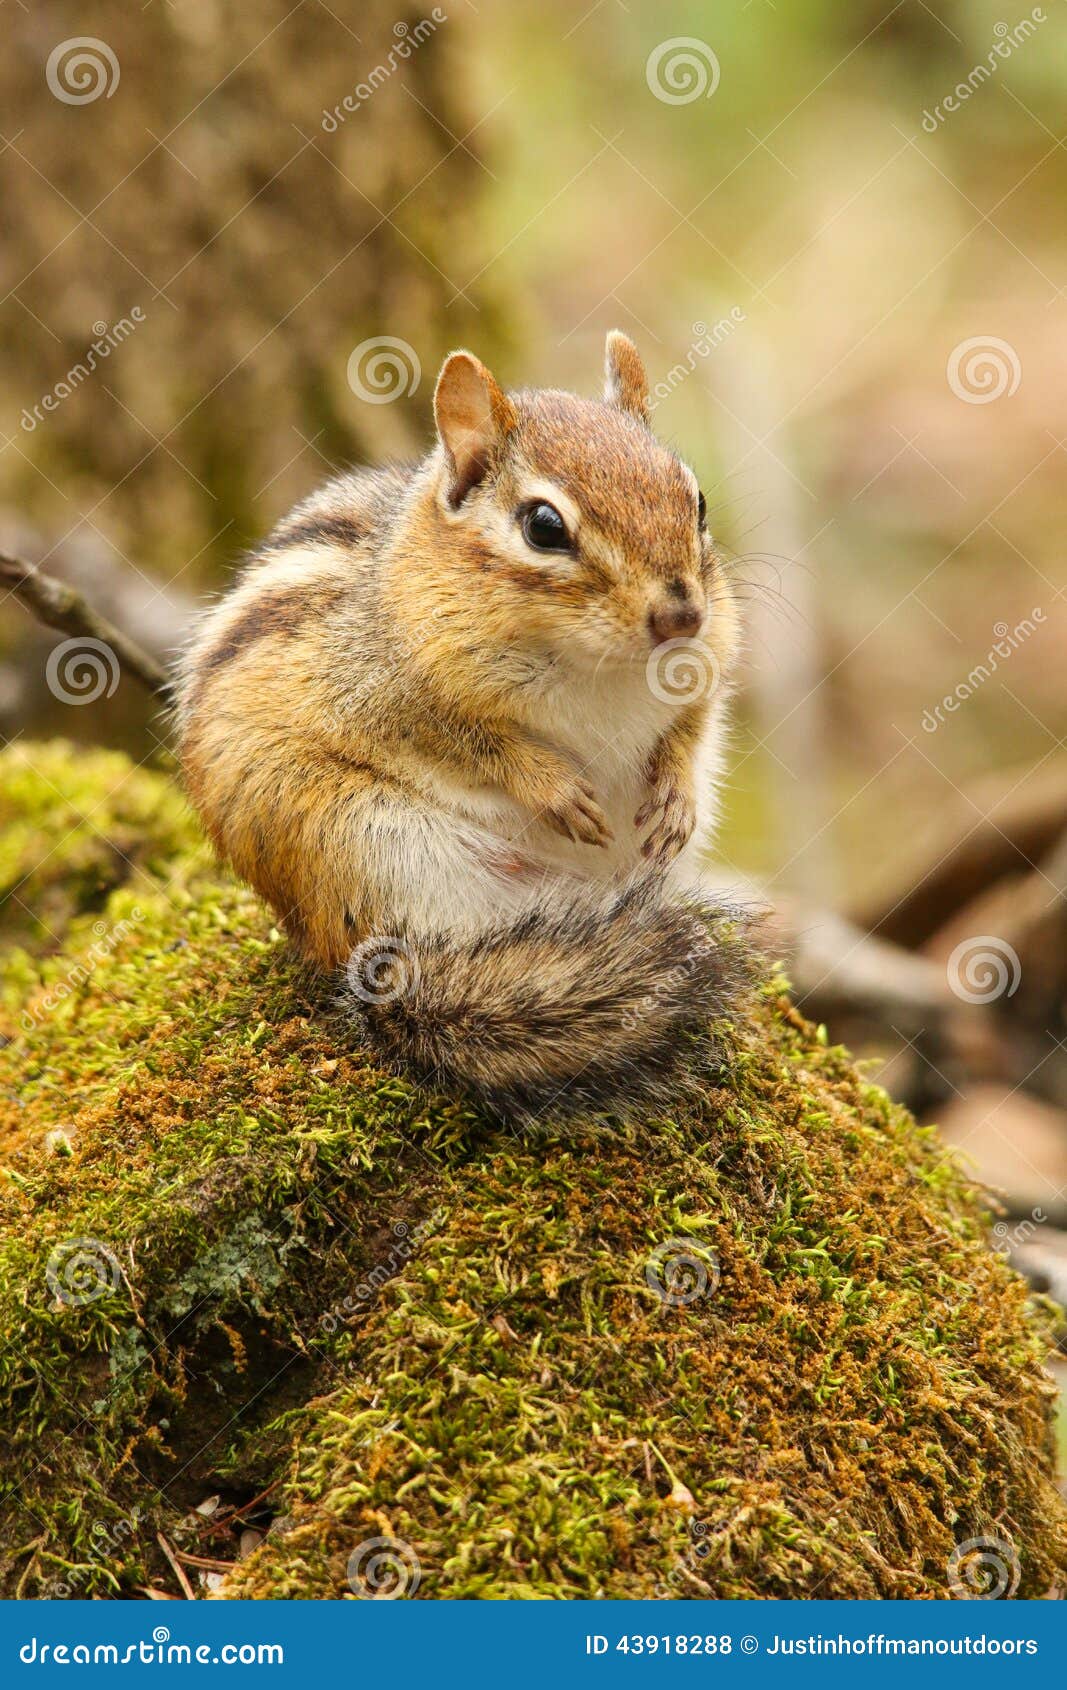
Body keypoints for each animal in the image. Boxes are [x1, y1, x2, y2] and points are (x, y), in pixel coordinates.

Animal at [176, 331, 747, 1120]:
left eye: (696, 501)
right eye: (544, 526)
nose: (681, 616)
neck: (600, 664)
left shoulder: (709, 662)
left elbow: (692, 723)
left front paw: (673, 799)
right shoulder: (394, 692)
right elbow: (473, 740)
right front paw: (557, 790)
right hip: (366, 843)